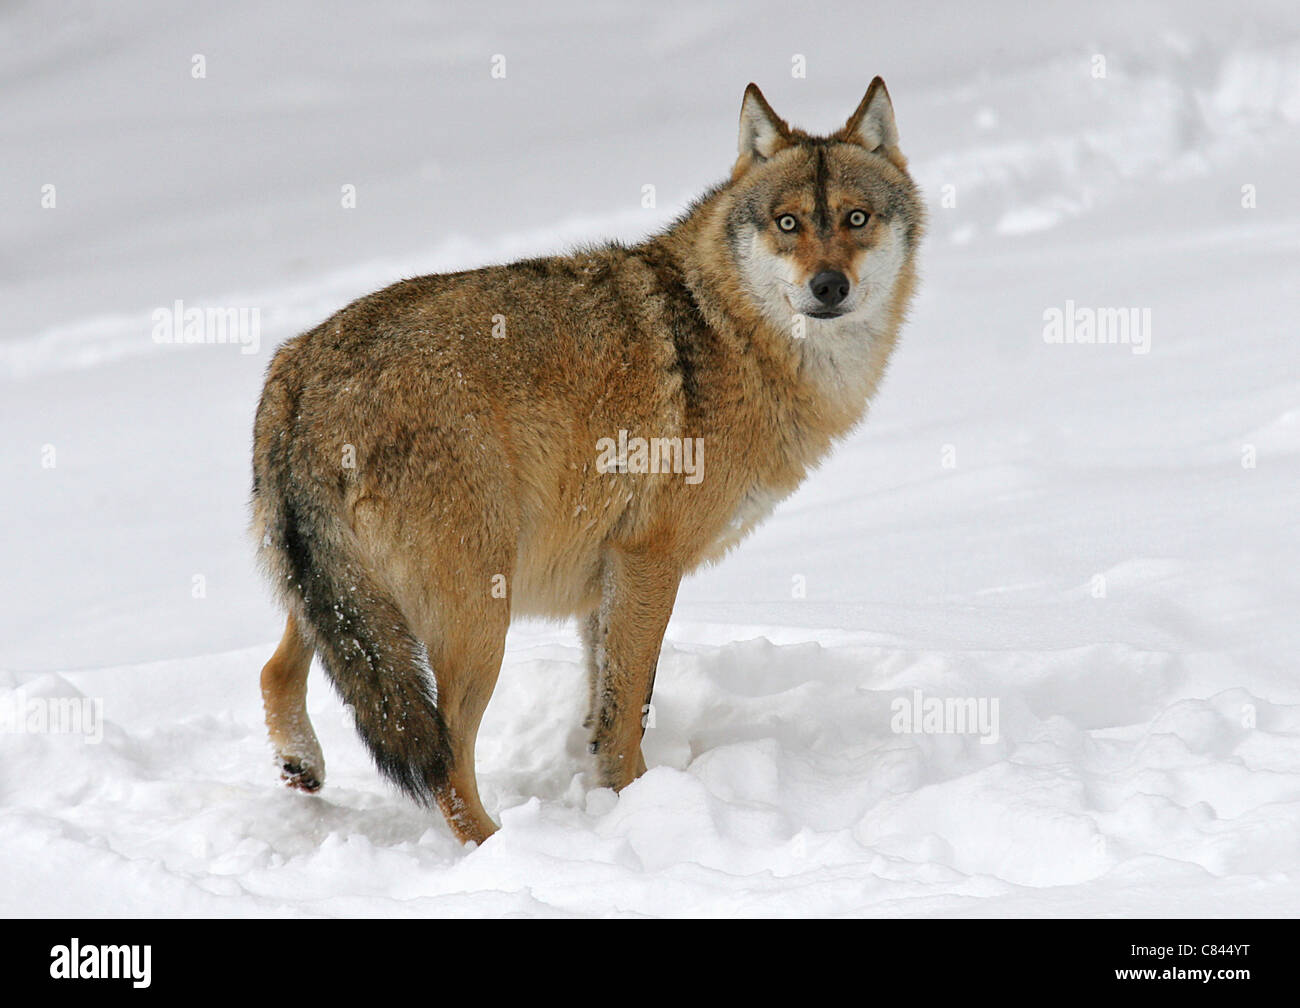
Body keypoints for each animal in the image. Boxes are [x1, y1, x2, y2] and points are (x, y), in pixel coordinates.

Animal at [252, 78, 924, 844]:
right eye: (788, 223)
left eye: (856, 218)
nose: (829, 286)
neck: (730, 334)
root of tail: (302, 377)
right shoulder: (648, 559)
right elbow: (629, 707)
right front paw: (638, 805)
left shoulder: (607, 581)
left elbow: (608, 706)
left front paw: (618, 799)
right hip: (479, 621)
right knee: (445, 756)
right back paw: (499, 848)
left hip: (344, 605)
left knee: (277, 672)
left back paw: (302, 766)